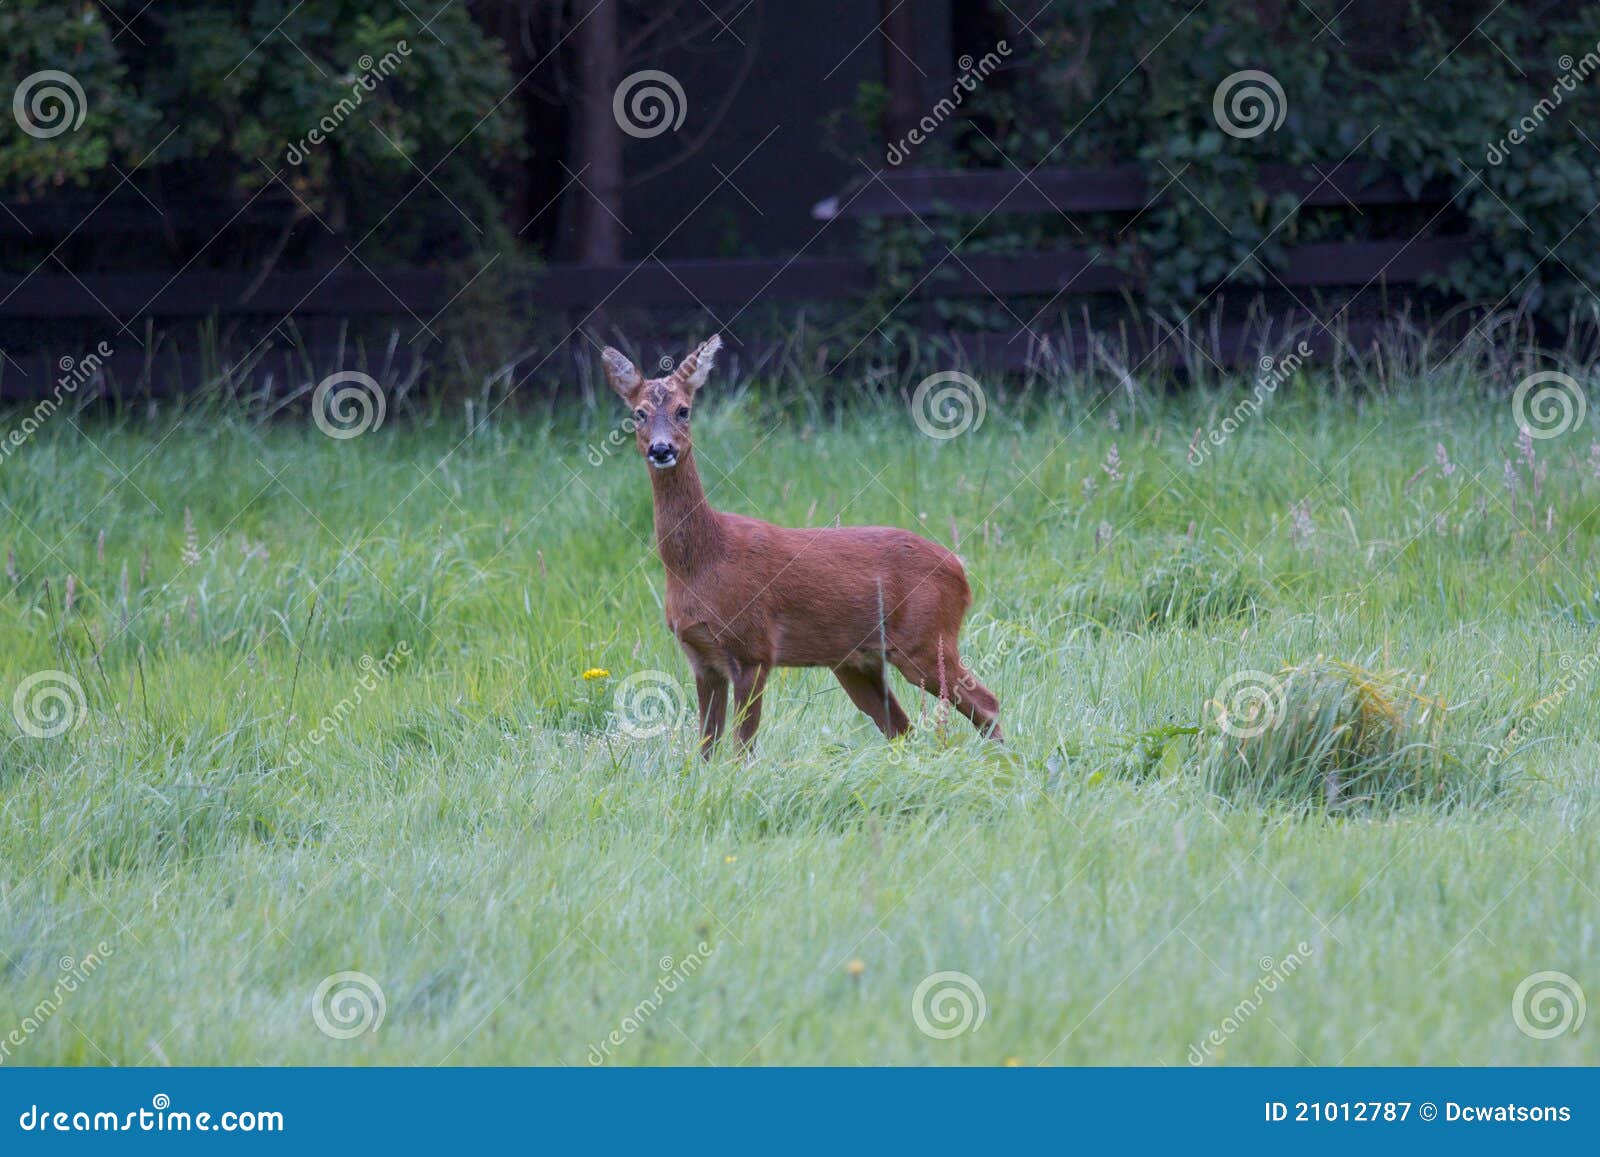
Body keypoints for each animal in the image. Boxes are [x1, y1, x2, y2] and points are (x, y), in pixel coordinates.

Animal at [601, 334, 1003, 757]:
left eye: (683, 410)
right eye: (639, 413)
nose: (661, 449)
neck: (702, 563)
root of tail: (961, 573)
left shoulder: (754, 647)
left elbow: (742, 750)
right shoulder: (702, 657)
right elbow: (706, 749)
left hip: (926, 639)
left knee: (986, 703)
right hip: (857, 661)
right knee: (903, 728)